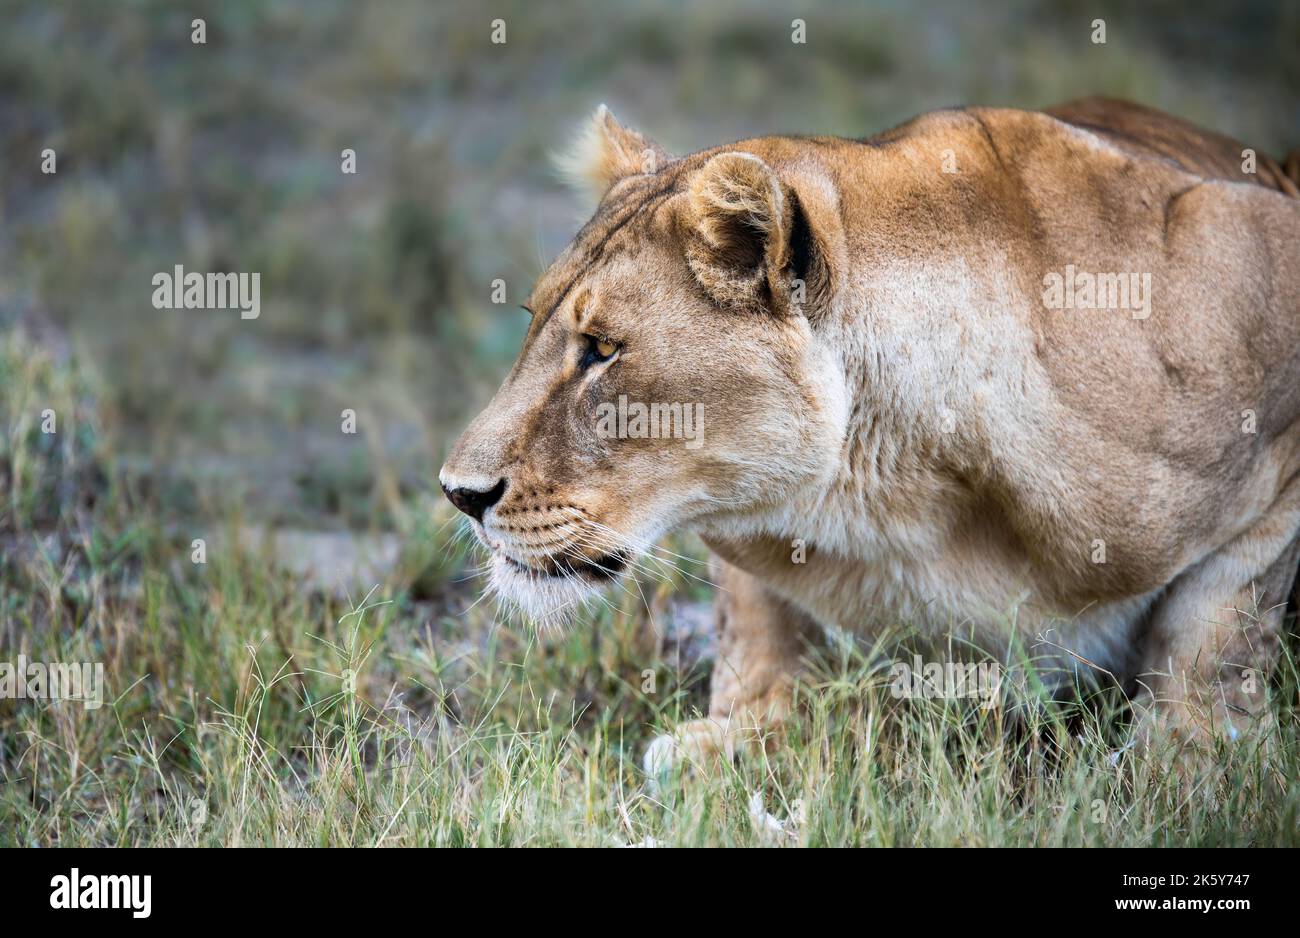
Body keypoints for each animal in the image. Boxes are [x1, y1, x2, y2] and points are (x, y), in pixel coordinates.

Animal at [440, 97, 1300, 775]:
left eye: (602, 349)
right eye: (535, 323)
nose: (458, 494)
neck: (886, 488)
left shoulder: (1273, 448)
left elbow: (1219, 623)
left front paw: (1188, 761)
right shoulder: (742, 517)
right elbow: (756, 618)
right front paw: (743, 730)